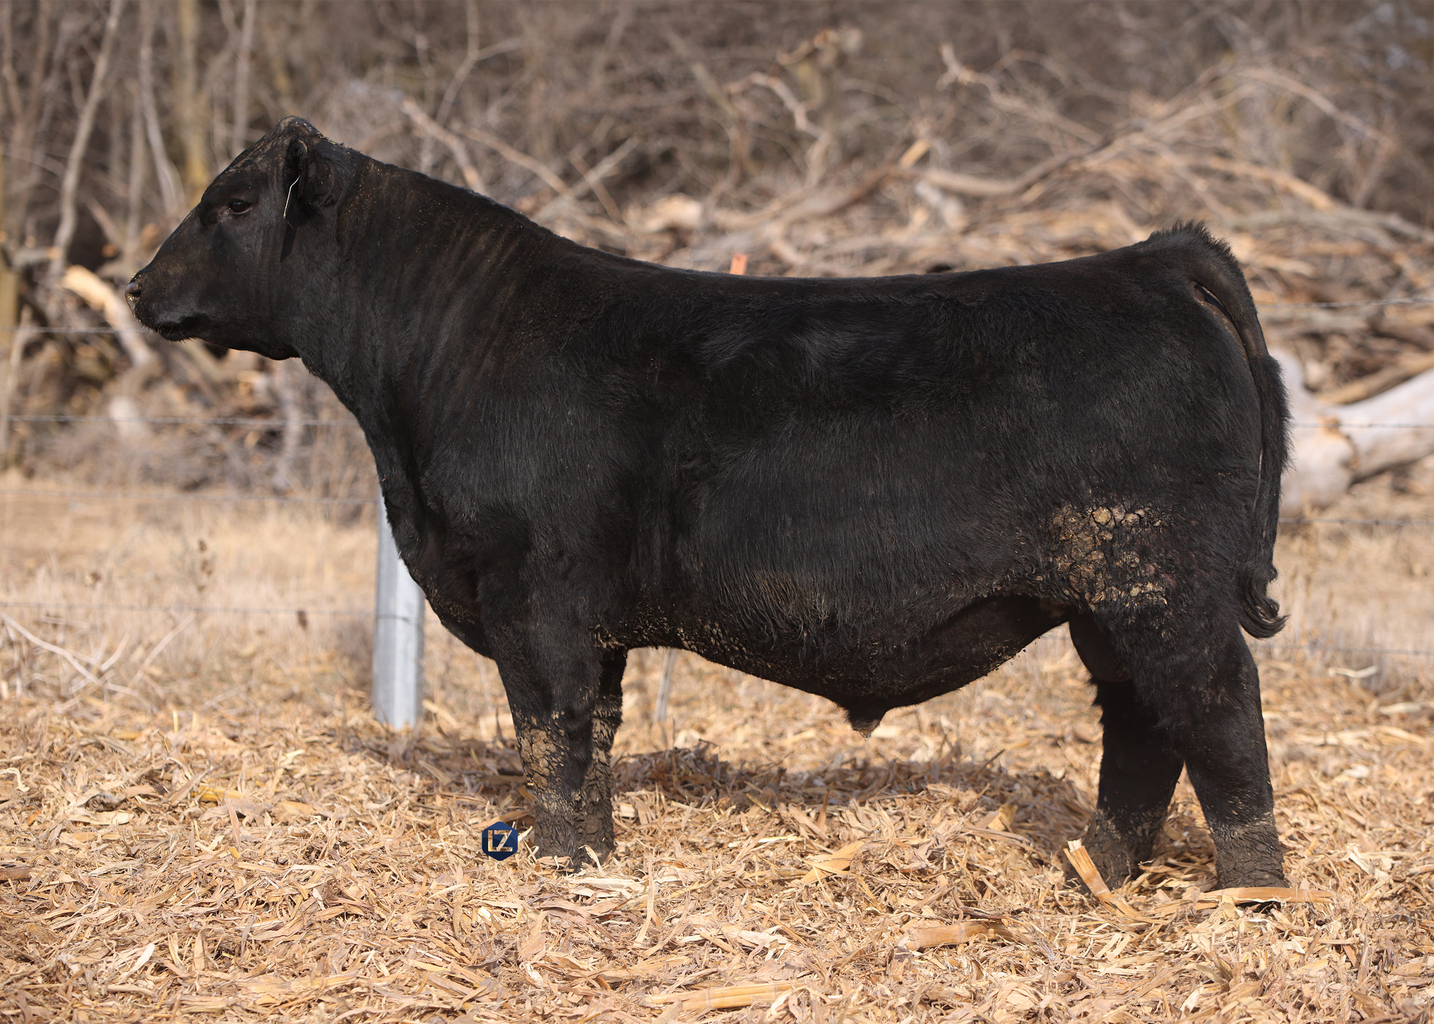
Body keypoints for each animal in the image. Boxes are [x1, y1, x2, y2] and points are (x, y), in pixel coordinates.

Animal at [127, 117, 1290, 890]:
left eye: (234, 204)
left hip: (1161, 584)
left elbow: (548, 732)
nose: (137, 286)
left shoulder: (533, 597)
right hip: (1110, 604)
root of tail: (1152, 258)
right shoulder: (588, 620)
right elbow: (591, 734)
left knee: (1217, 710)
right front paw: (593, 862)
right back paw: (1095, 873)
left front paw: (555, 866)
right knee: (1144, 726)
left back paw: (1246, 895)